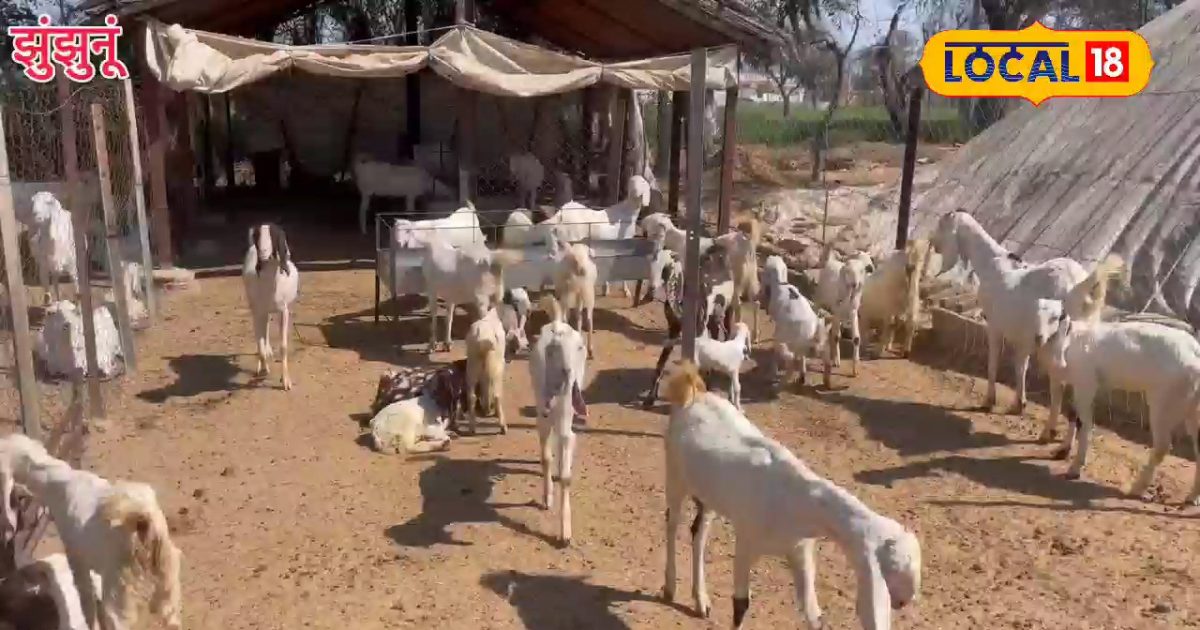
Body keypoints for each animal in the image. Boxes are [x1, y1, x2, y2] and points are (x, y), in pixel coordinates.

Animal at [242, 223, 298, 390]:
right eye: (258, 236)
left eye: (273, 235)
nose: (262, 254)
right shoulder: (257, 312)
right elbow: (259, 346)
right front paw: (264, 369)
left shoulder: (283, 311)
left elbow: (283, 347)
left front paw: (286, 381)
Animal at [661, 361, 922, 629]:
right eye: (897, 565)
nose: (904, 601)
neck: (794, 499)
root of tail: (693, 392)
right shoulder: (745, 545)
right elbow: (740, 605)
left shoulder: (800, 551)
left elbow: (814, 615)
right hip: (674, 476)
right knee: (672, 523)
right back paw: (670, 587)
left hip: (708, 493)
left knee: (699, 532)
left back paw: (700, 600)